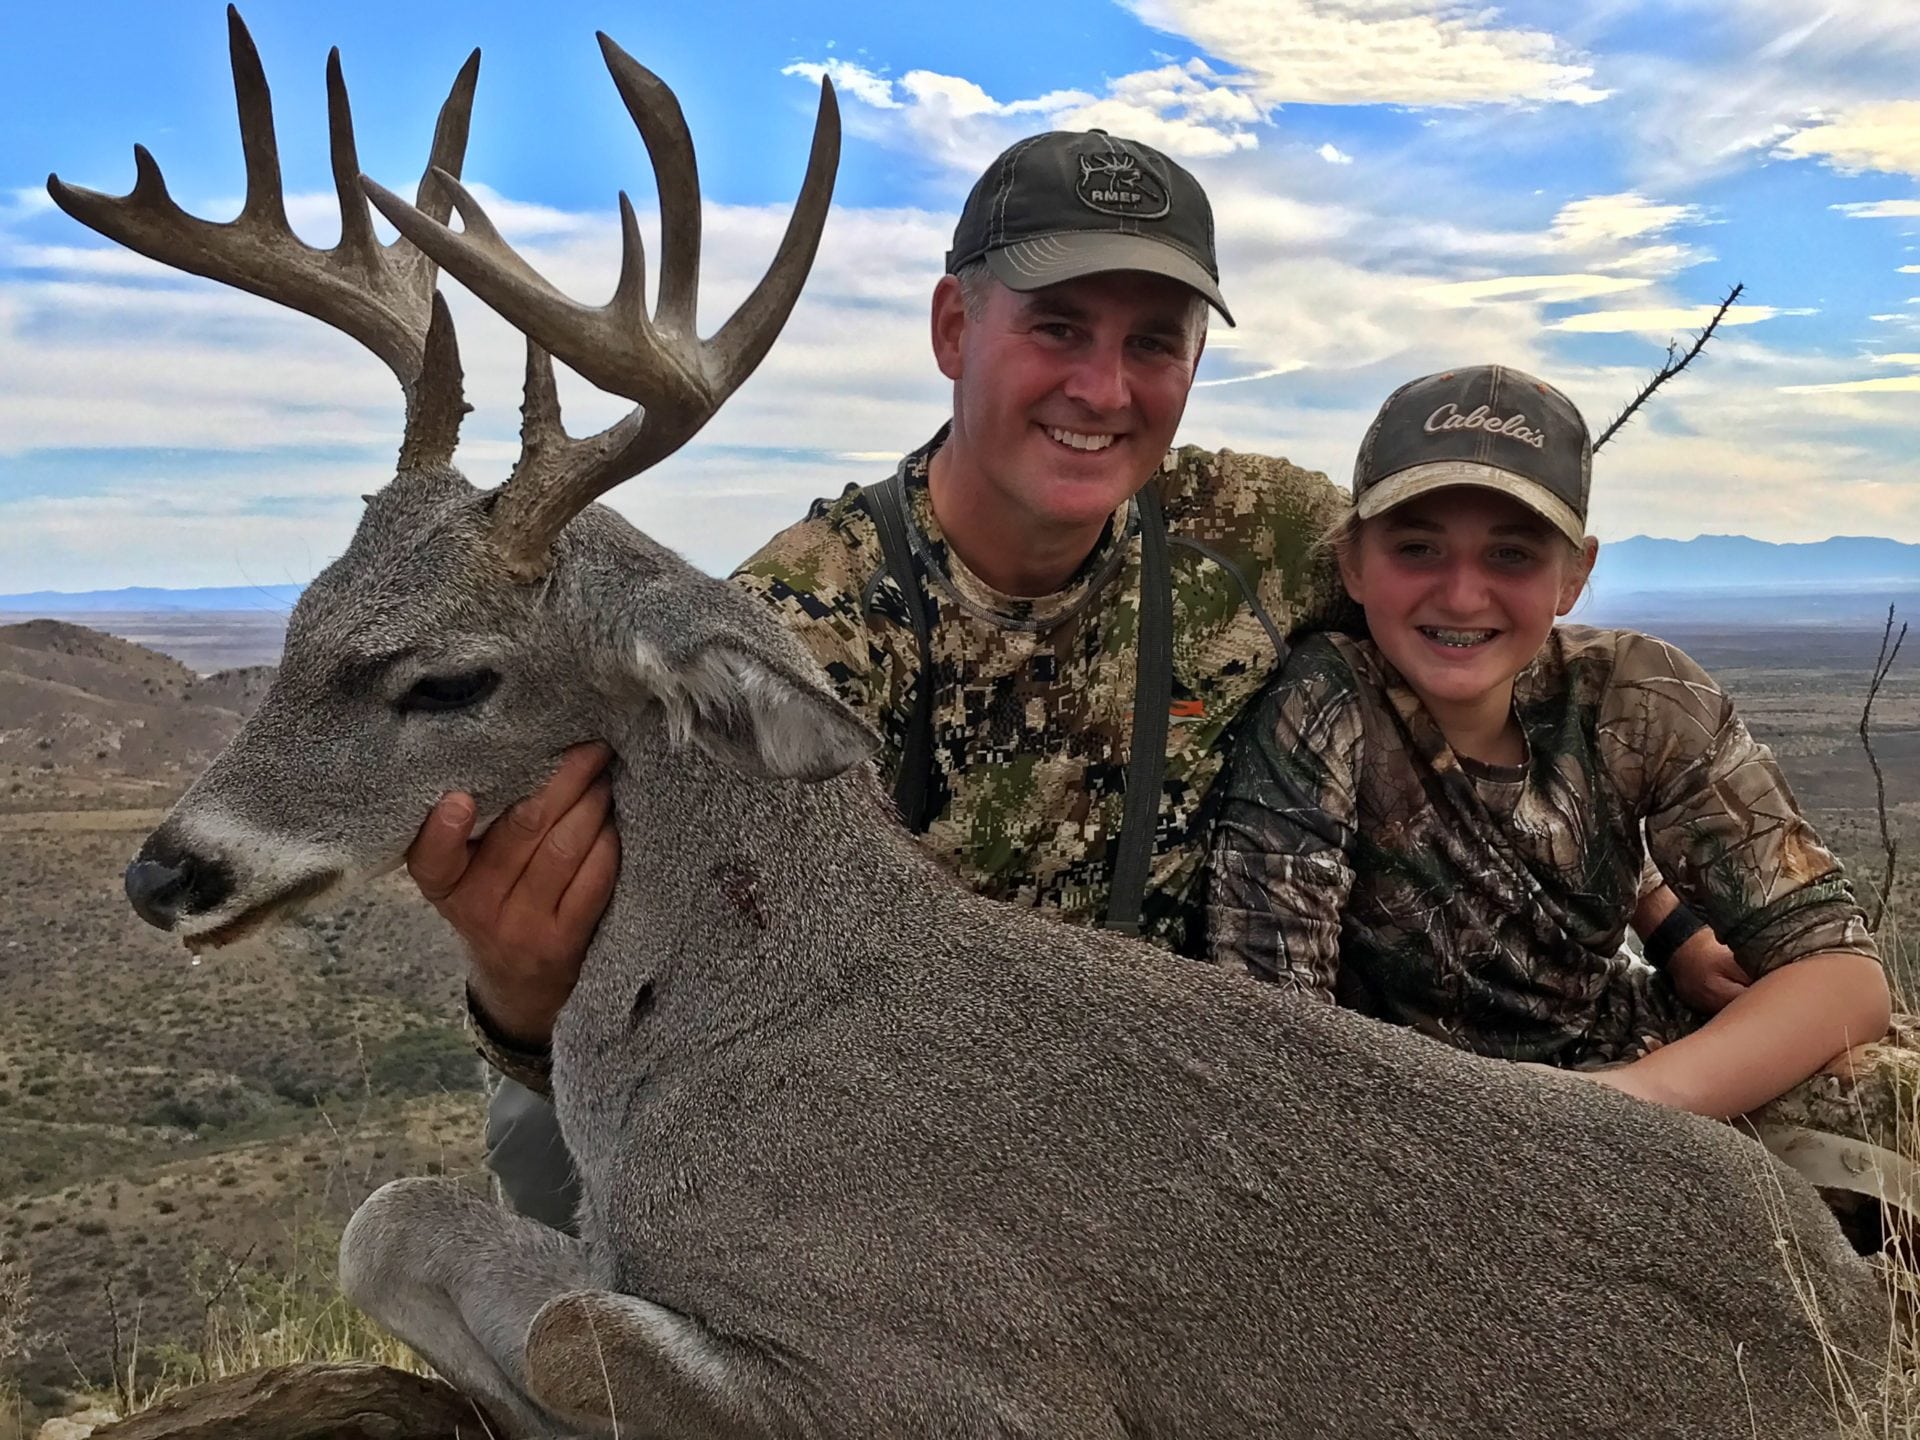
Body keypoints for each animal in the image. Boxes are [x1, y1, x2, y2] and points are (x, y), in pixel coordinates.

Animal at [59, 12, 1892, 1439]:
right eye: (298, 612)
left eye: (449, 677)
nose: (167, 871)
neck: (699, 1033)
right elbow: (391, 1224)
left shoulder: (977, 1375)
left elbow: (569, 1324)